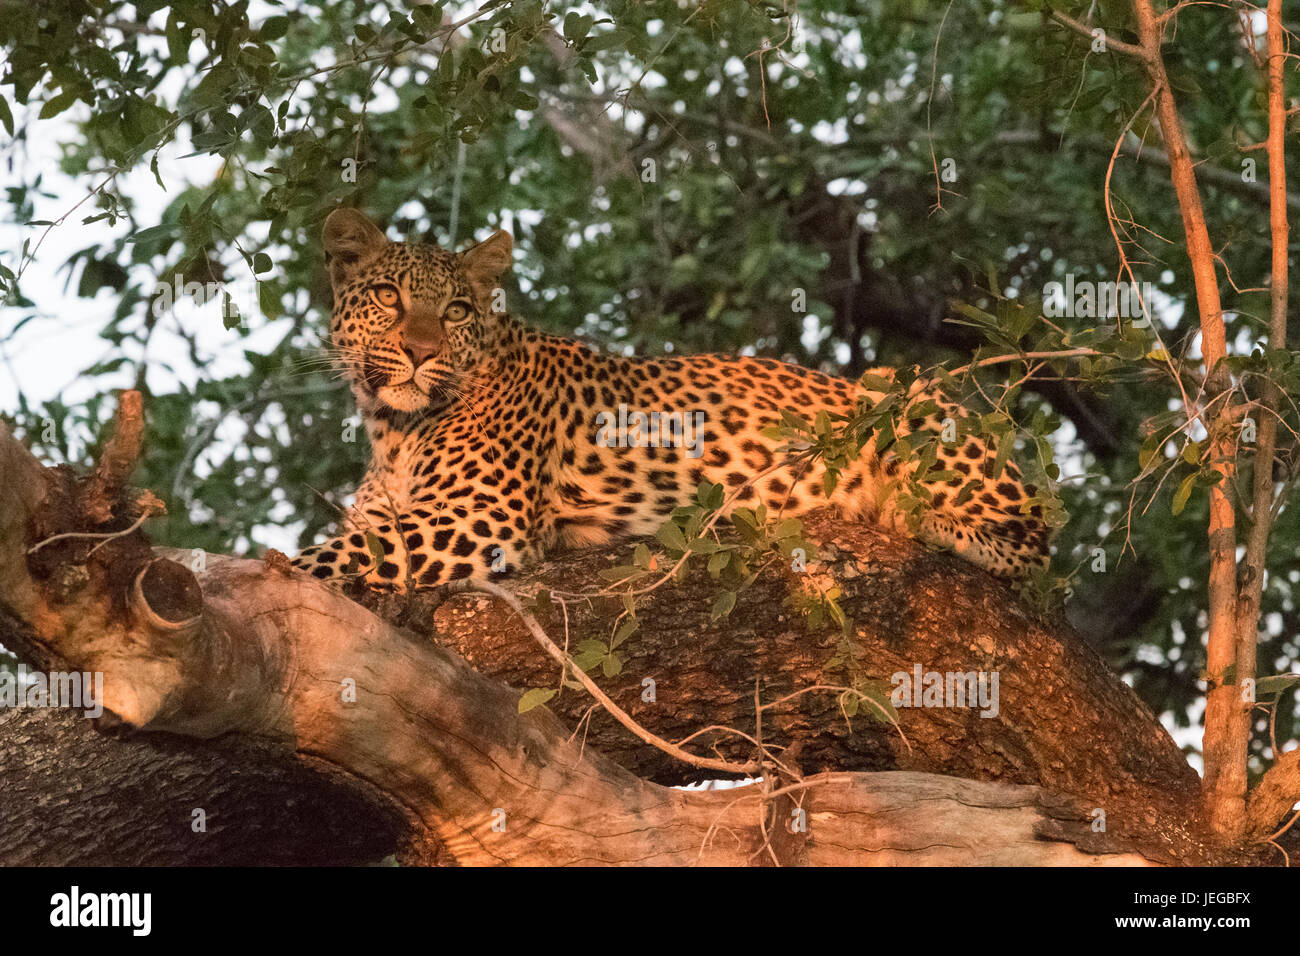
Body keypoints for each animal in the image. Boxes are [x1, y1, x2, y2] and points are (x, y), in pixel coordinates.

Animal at [291, 208, 1051, 590]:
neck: (391, 426)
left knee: (1036, 548)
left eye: (452, 311)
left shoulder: (481, 518)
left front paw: (273, 573)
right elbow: (355, 537)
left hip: (909, 400)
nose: (421, 352)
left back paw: (916, 516)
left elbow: (334, 557)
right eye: (388, 297)